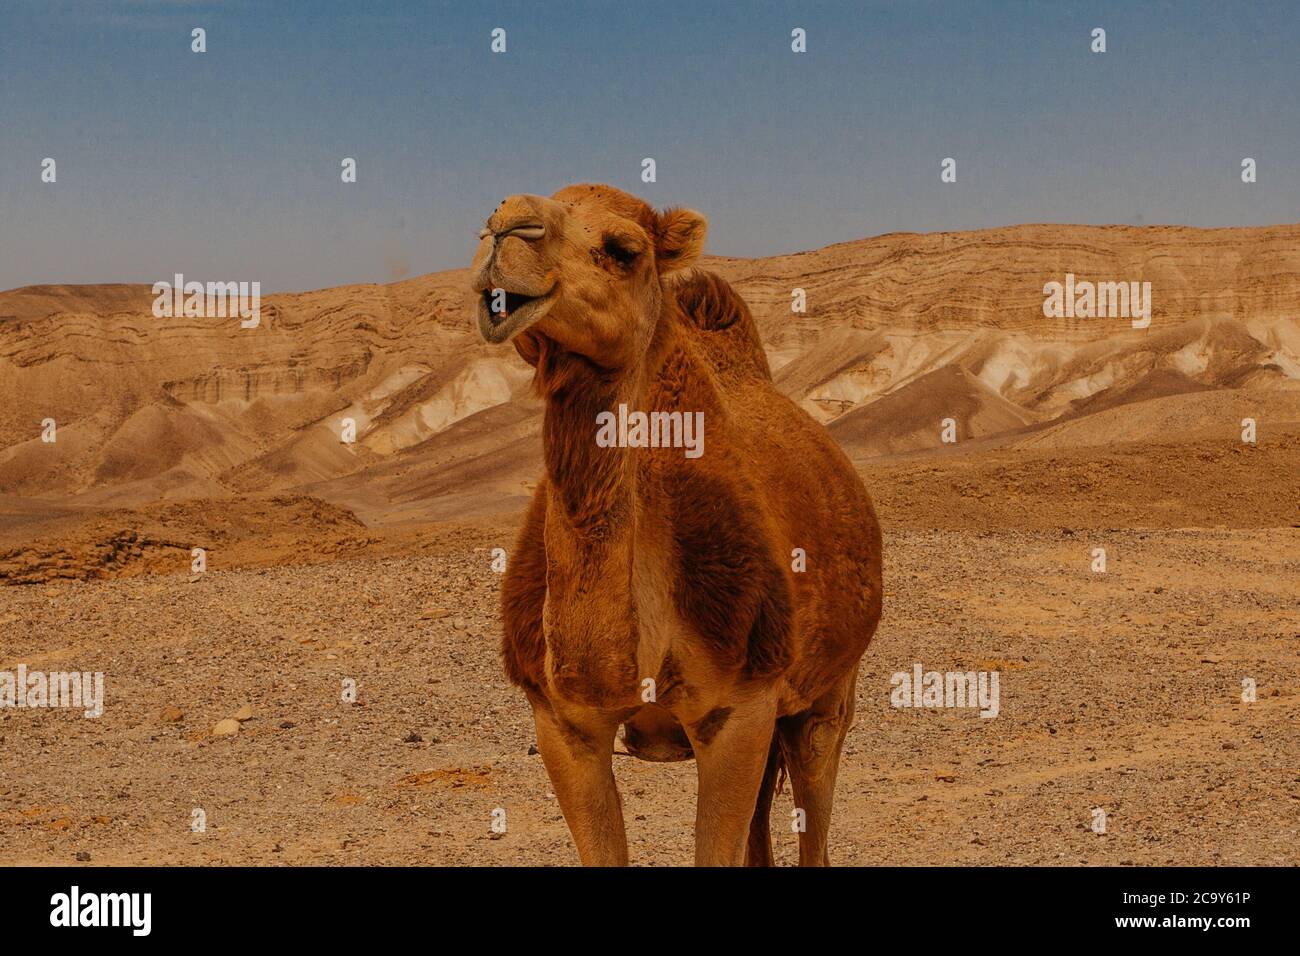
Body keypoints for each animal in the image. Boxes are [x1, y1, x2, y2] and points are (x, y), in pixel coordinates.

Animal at [470, 184, 883, 866]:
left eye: (622, 249)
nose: (505, 229)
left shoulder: (738, 710)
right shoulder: (562, 722)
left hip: (828, 689)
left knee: (814, 792)